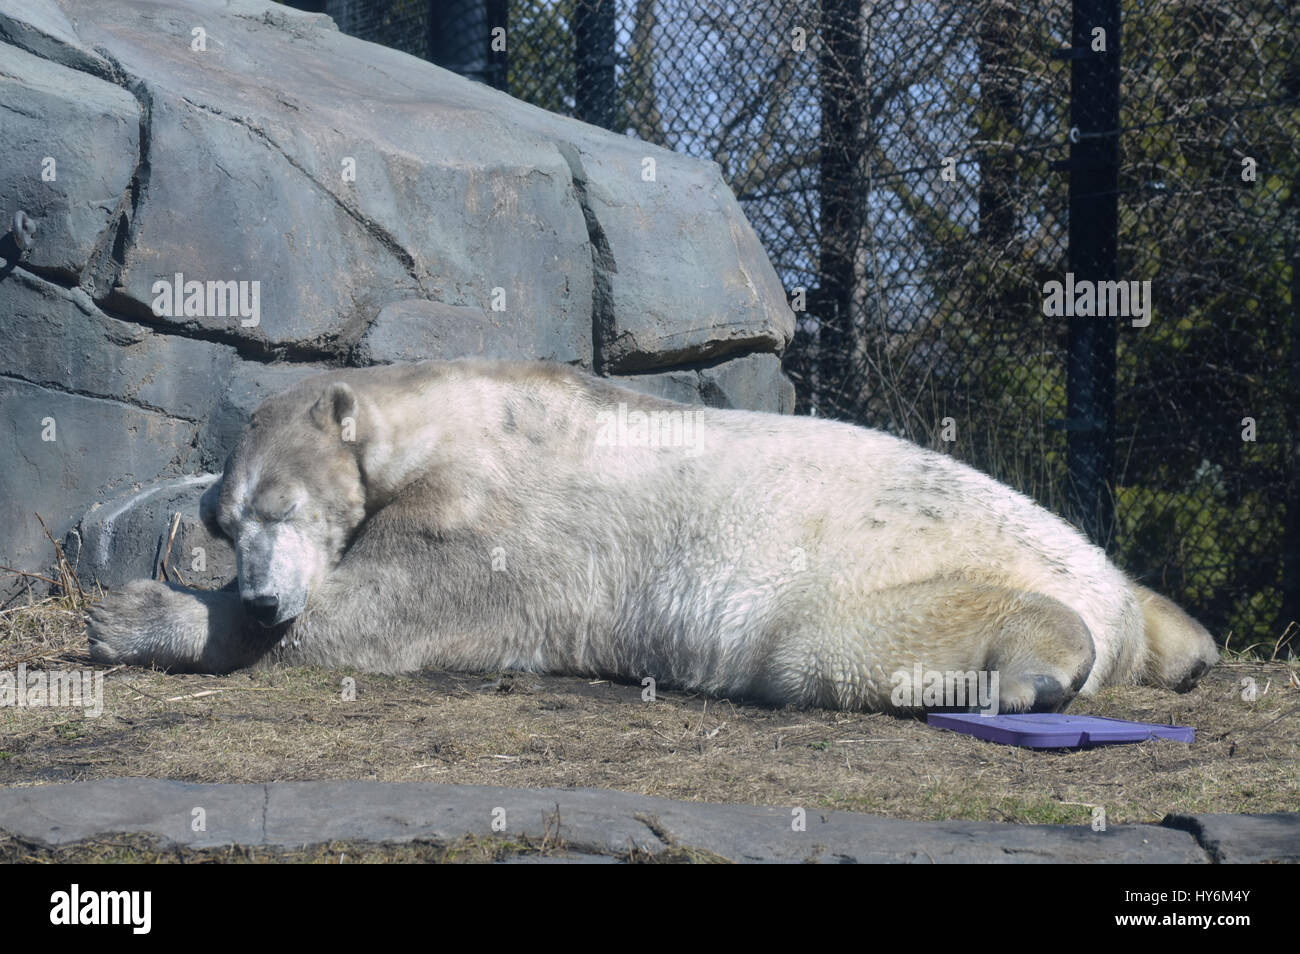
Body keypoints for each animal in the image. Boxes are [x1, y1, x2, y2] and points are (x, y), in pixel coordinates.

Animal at [86, 358, 1219, 713]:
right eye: (227, 520)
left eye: (280, 512)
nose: (262, 589)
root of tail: (1106, 597)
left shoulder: (486, 518)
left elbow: (370, 619)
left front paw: (130, 617)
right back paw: (1192, 645)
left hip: (881, 570)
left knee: (843, 646)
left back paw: (1035, 668)